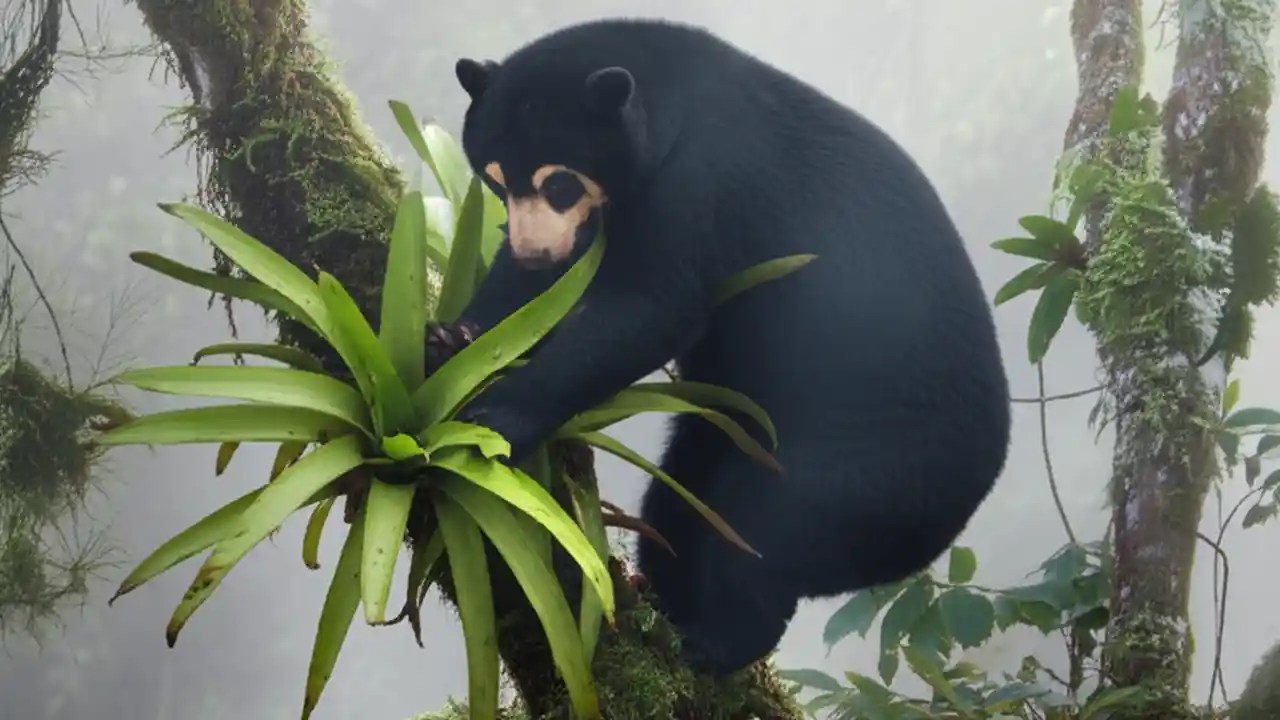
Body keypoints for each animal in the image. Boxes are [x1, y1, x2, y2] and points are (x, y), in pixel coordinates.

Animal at [423, 17, 1011, 676]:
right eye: (496, 180)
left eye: (561, 182)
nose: (534, 249)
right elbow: (545, 288)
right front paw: (454, 337)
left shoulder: (699, 182)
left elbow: (653, 308)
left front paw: (493, 419)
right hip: (734, 427)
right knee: (682, 501)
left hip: (869, 460)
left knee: (765, 530)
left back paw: (711, 642)